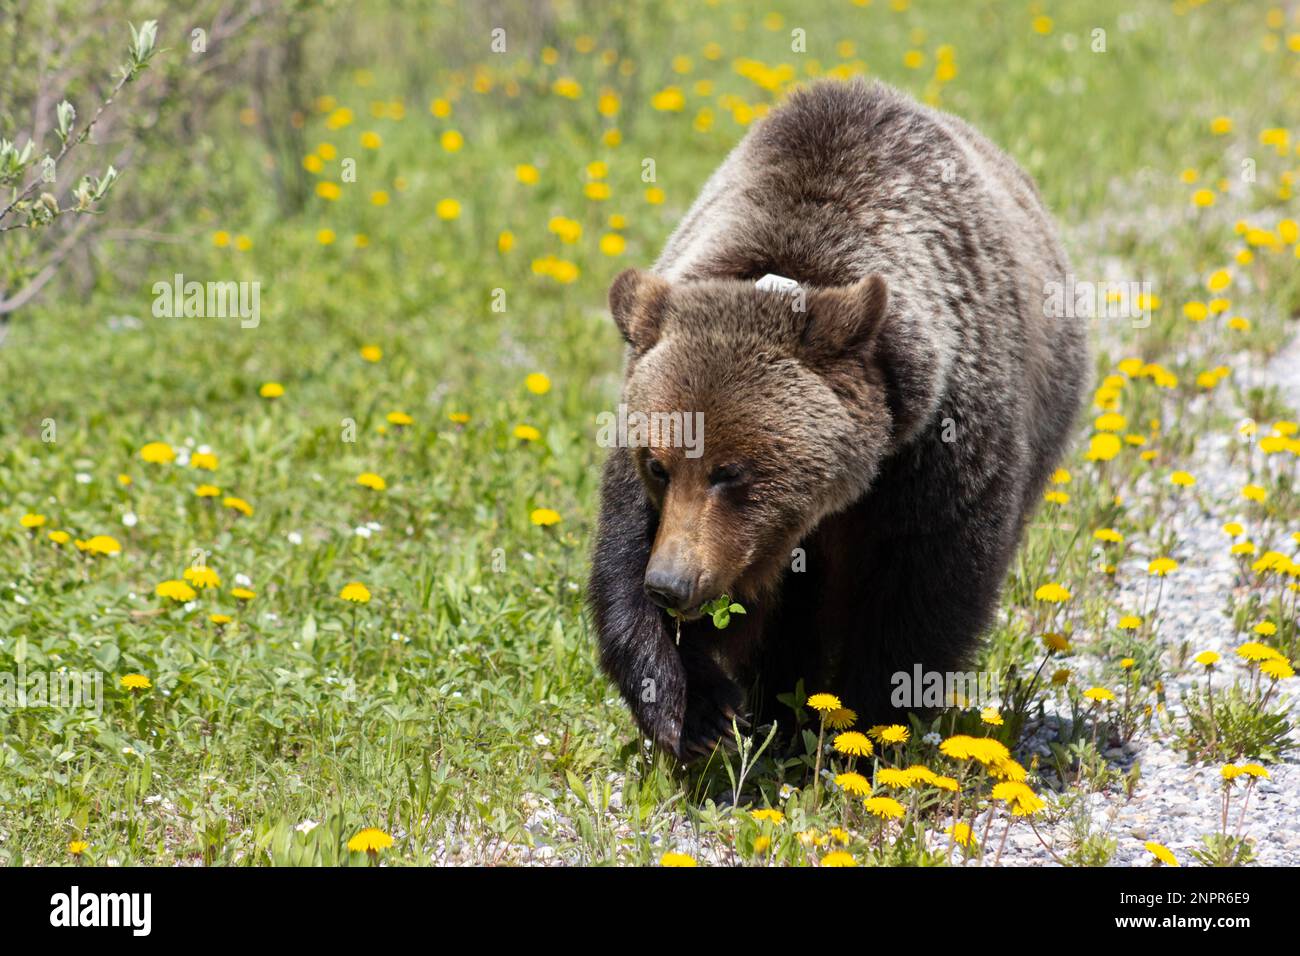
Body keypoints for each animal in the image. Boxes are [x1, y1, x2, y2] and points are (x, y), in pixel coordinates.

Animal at [588, 78, 1087, 761]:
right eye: (658, 466)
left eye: (731, 471)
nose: (671, 583)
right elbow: (624, 559)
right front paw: (693, 709)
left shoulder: (935, 447)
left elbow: (920, 595)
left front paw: (871, 726)